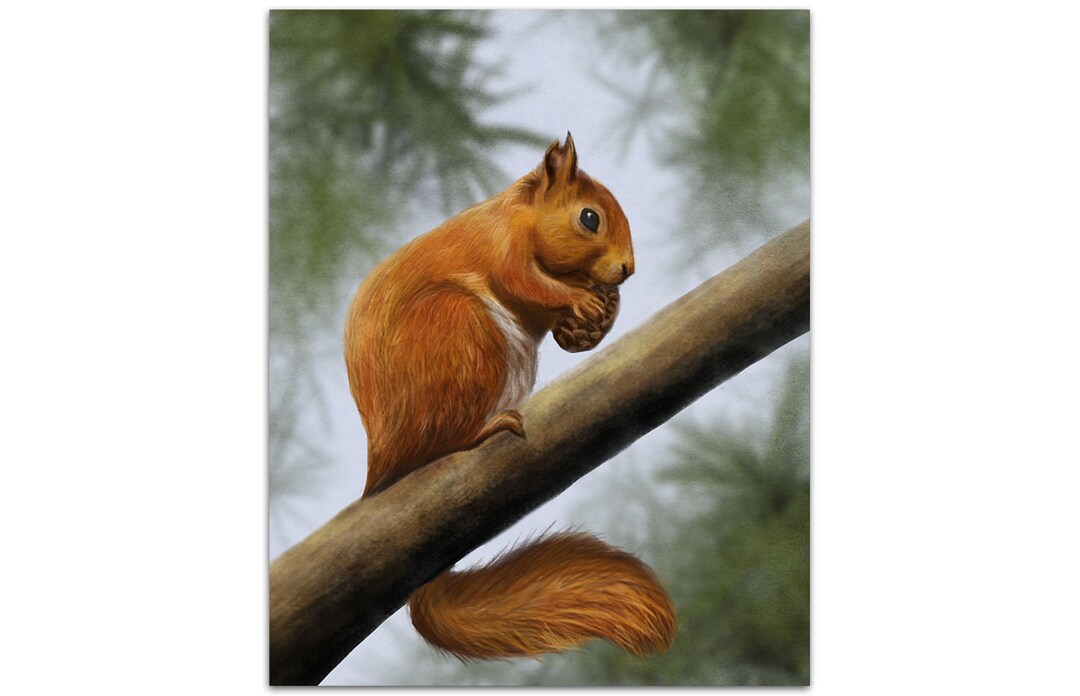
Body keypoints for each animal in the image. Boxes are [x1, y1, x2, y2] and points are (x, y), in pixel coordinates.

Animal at [344, 133, 675, 659]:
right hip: (457, 326)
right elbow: (524, 281)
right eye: (590, 218)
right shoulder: (501, 248)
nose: (627, 269)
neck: (519, 214)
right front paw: (580, 299)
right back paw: (481, 432)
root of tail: (384, 463)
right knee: (443, 443)